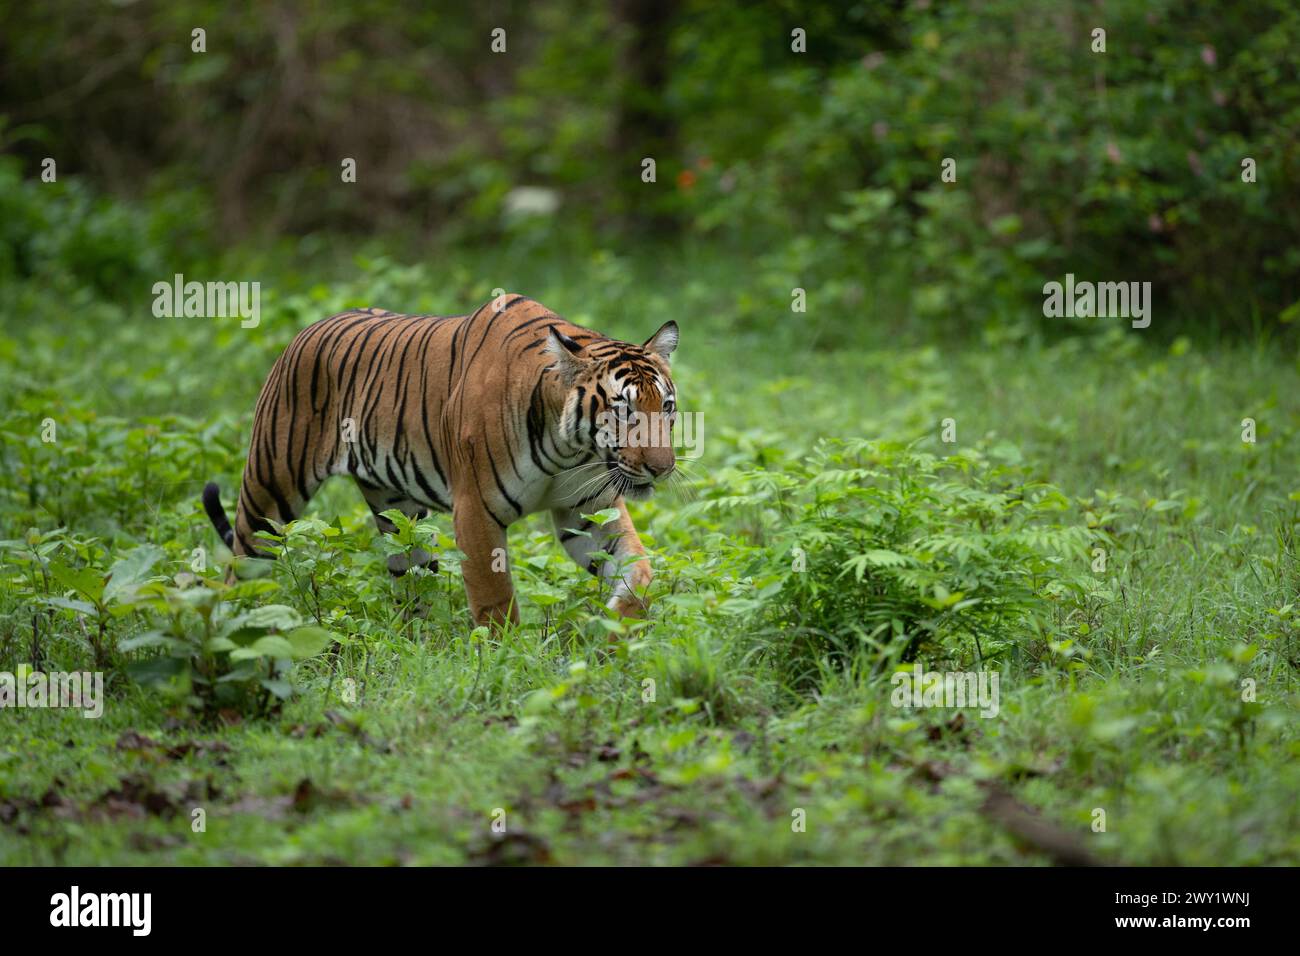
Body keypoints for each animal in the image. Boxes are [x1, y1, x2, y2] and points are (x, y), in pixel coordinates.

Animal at [201, 294, 679, 627]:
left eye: (667, 407)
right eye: (623, 410)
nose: (662, 469)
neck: (570, 448)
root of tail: (304, 331)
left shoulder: (588, 509)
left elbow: (638, 569)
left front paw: (618, 628)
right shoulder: (475, 511)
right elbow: (494, 601)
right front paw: (506, 659)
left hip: (400, 515)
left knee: (410, 578)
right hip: (270, 491)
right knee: (239, 568)